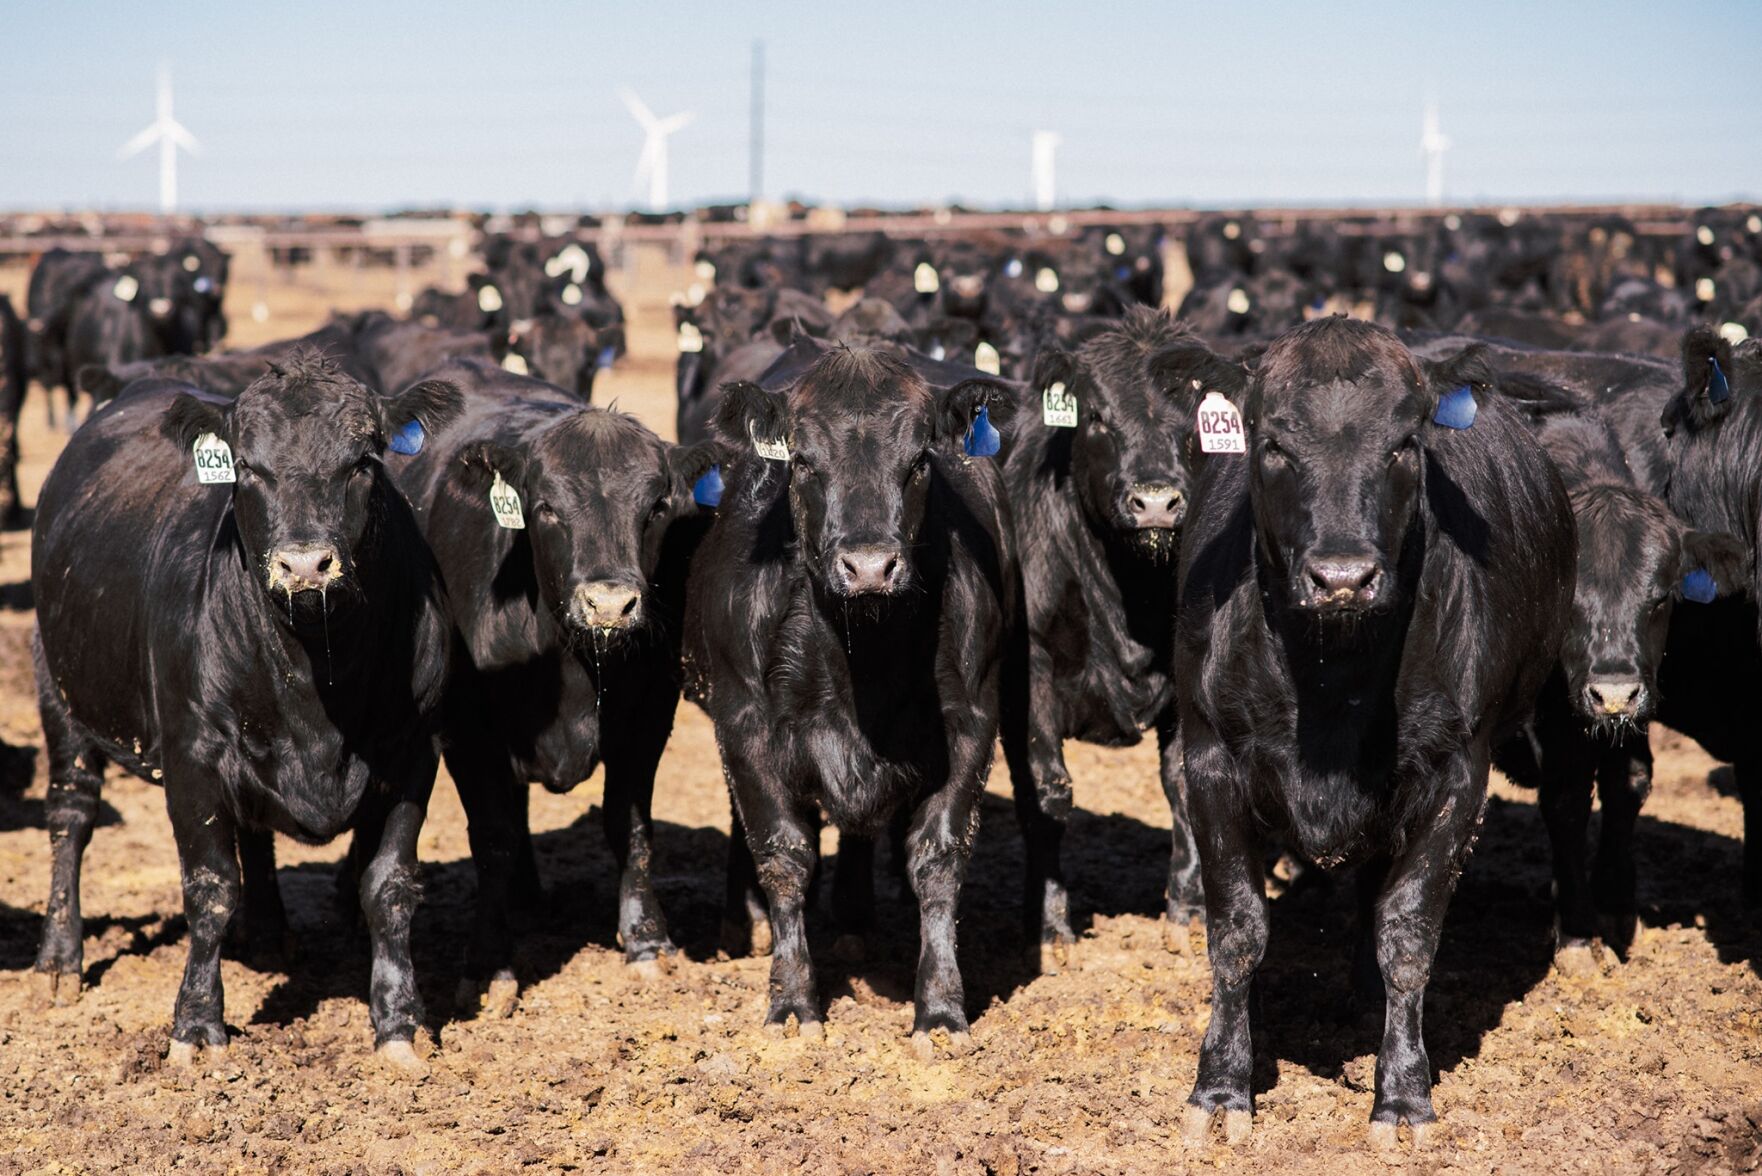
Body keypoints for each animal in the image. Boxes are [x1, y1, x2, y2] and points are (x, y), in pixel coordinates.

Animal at [31, 353, 460, 1071]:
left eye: (362, 461)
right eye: (248, 468)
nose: (306, 564)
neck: (318, 685)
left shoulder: (414, 753)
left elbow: (389, 886)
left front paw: (399, 1023)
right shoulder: (191, 757)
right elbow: (209, 888)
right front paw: (196, 1026)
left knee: (254, 835)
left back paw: (267, 932)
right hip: (59, 691)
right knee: (71, 816)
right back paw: (60, 959)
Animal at [385, 356, 715, 1011]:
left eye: (656, 508)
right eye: (546, 508)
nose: (610, 604)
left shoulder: (650, 717)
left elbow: (629, 826)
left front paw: (646, 942)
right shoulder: (468, 731)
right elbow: (492, 837)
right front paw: (490, 964)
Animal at [685, 337, 1017, 1054]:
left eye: (919, 460)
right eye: (804, 460)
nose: (868, 567)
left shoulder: (973, 725)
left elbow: (938, 858)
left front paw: (940, 1010)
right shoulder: (745, 725)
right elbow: (783, 853)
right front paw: (791, 1002)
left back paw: (857, 920)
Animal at [998, 307, 1228, 966]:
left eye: (1197, 418)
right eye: (1097, 416)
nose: (1155, 501)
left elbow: (1183, 784)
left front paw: (1187, 914)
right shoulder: (1031, 677)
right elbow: (1048, 793)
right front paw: (1051, 929)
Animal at [1174, 317, 1575, 1144]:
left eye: (1404, 443)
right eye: (1272, 442)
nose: (1342, 578)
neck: (1333, 681)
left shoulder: (1459, 773)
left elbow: (1409, 934)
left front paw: (1404, 1096)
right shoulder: (1209, 755)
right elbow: (1235, 932)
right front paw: (1221, 1090)